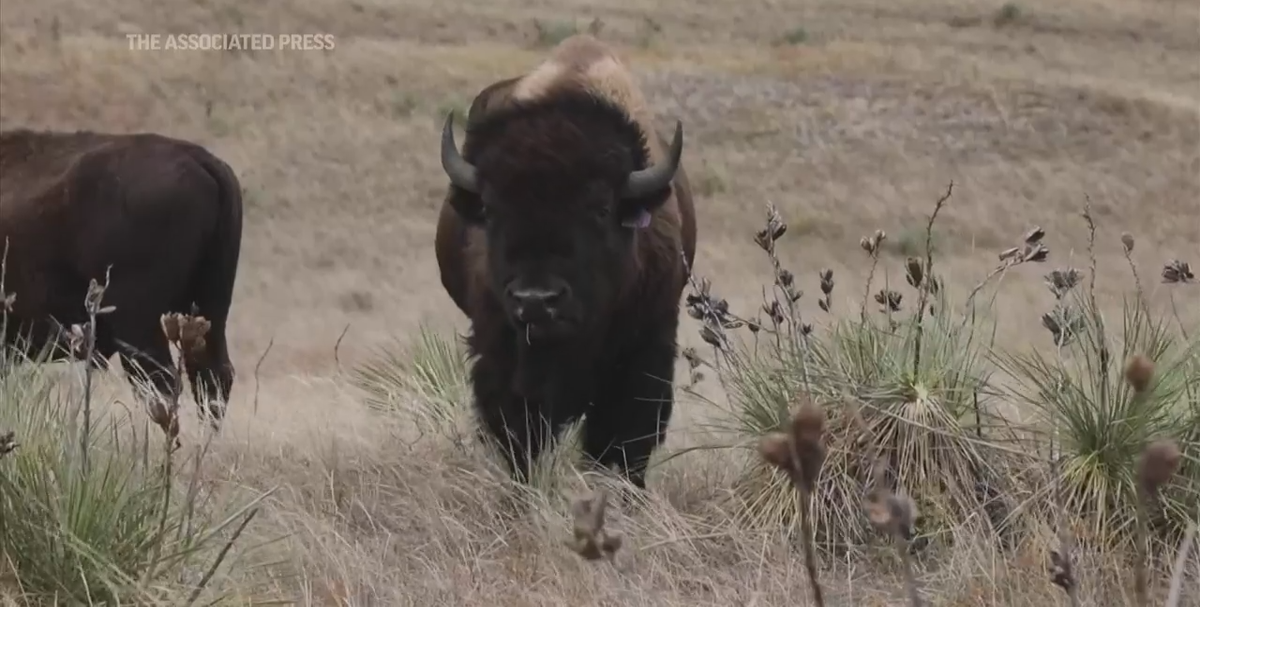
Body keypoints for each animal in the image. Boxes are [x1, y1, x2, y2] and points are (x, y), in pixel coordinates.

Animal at [435, 35, 699, 489]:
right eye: (490, 209)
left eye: (600, 208)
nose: (536, 299)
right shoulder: (500, 352)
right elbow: (519, 436)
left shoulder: (646, 350)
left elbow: (625, 443)